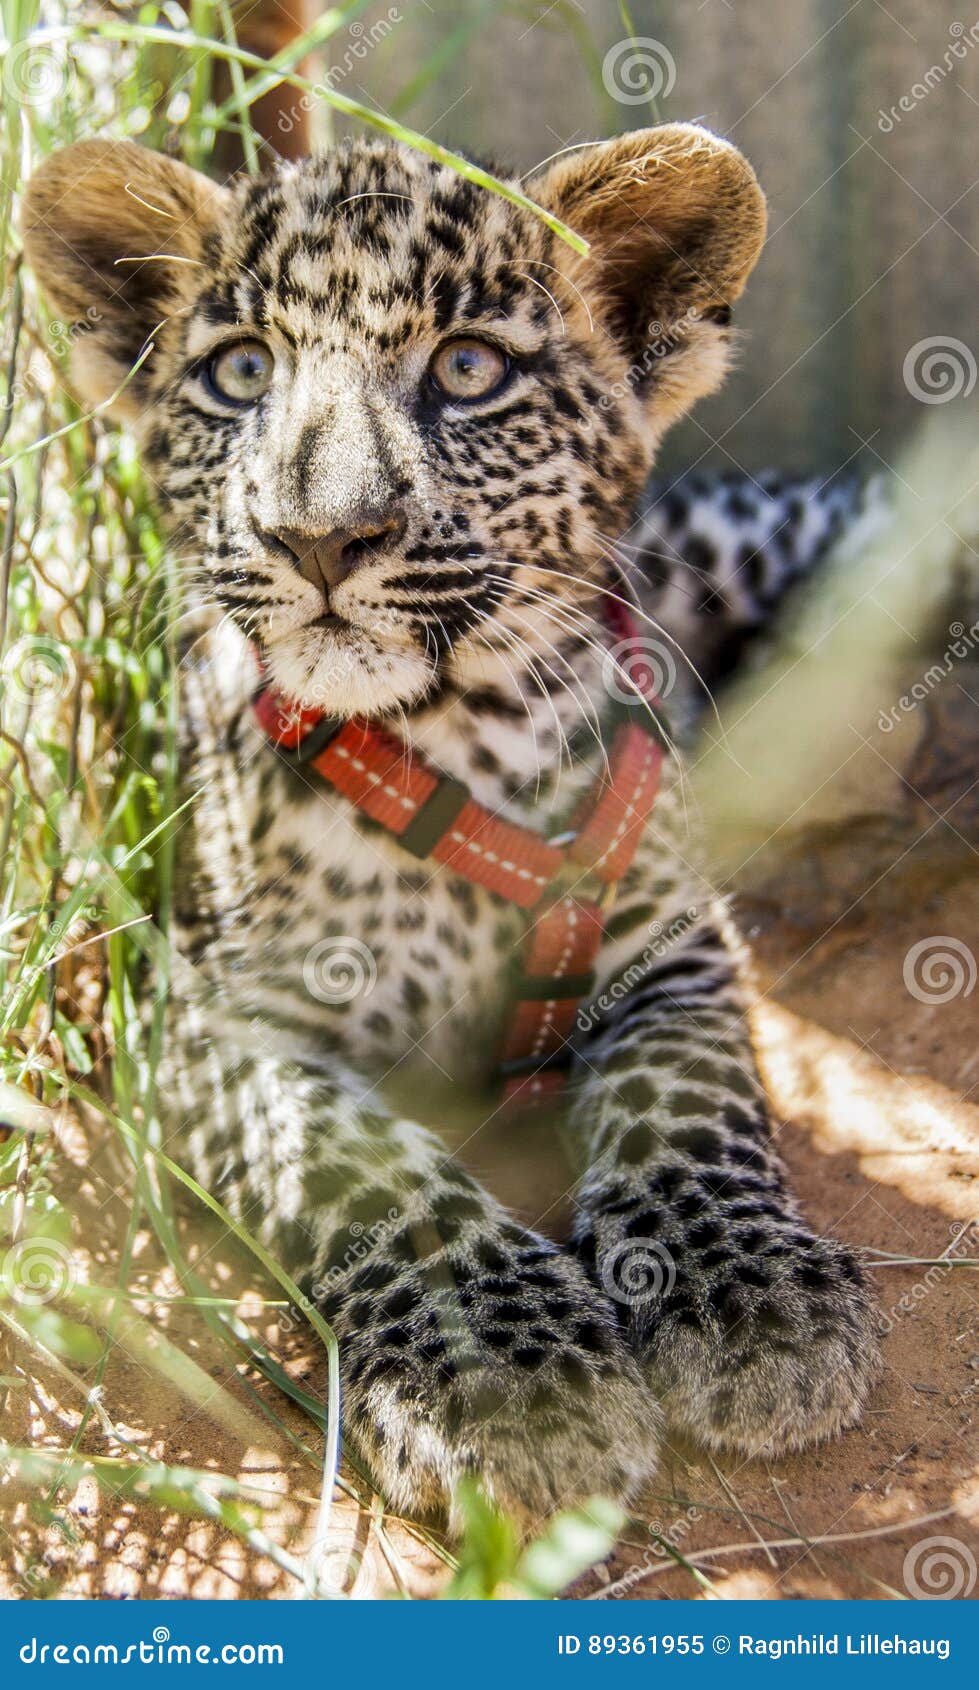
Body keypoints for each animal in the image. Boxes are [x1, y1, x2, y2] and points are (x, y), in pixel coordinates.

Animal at [23, 122, 882, 1536]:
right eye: (241, 371)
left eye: (467, 369)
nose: (320, 539)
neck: (461, 739)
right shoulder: (209, 1029)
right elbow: (365, 1166)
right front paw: (505, 1375)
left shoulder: (677, 957)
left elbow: (690, 1105)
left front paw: (753, 1291)